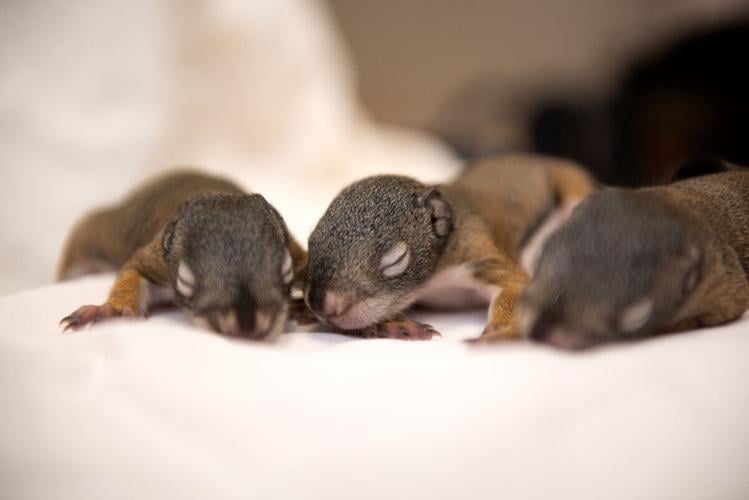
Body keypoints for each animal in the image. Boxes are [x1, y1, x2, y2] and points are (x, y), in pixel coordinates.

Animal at [58, 170, 307, 340]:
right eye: (186, 281)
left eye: (287, 273)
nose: (246, 328)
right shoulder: (155, 261)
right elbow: (133, 272)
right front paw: (111, 311)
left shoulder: (293, 249)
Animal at [304, 154, 596, 340]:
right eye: (311, 242)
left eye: (395, 260)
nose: (320, 305)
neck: (435, 279)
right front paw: (396, 326)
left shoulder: (479, 255)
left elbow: (514, 287)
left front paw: (500, 331)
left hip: (572, 185)